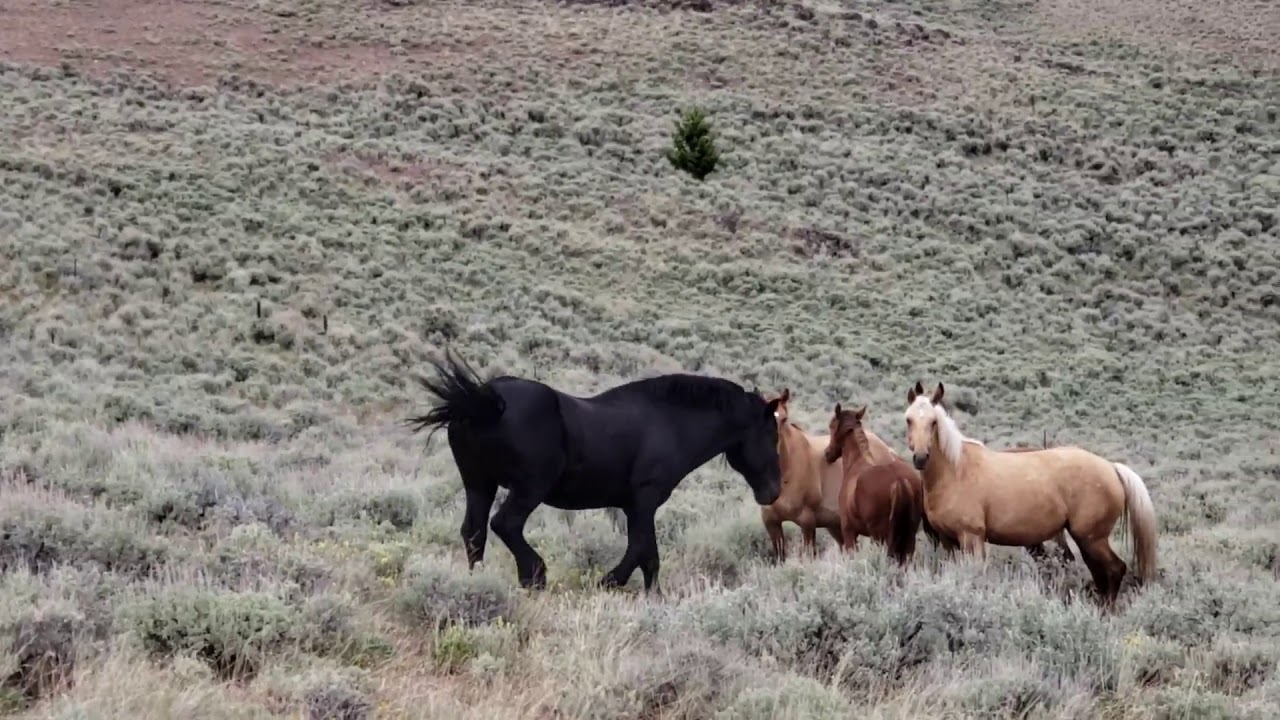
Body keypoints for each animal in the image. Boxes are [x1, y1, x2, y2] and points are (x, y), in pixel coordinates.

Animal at [405, 349, 784, 594]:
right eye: (773, 435)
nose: (774, 491)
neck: (670, 423)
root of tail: (484, 400)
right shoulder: (643, 501)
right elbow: (641, 550)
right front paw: (610, 582)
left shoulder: (634, 506)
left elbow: (648, 556)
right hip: (529, 487)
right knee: (505, 524)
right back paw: (535, 576)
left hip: (478, 483)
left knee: (474, 534)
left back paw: (476, 584)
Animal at [824, 403, 925, 565]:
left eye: (831, 425)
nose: (827, 453)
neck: (857, 463)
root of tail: (900, 481)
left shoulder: (848, 531)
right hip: (909, 537)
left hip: (880, 537)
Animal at [903, 381, 1159, 605]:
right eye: (909, 420)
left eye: (934, 422)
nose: (920, 458)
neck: (956, 470)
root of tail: (1111, 467)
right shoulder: (948, 541)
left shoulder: (972, 538)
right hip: (1088, 540)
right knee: (1101, 573)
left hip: (1092, 538)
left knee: (1115, 570)